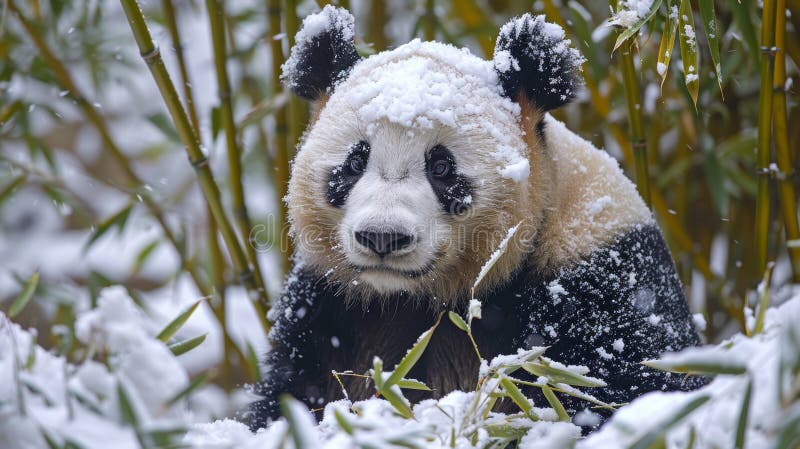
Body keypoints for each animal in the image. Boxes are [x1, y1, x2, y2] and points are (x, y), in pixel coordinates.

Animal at [249, 5, 705, 431]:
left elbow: (617, 391)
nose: (382, 237)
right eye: (355, 162)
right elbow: (293, 396)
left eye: (442, 168)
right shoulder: (328, 308)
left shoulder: (601, 283)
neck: (424, 298)